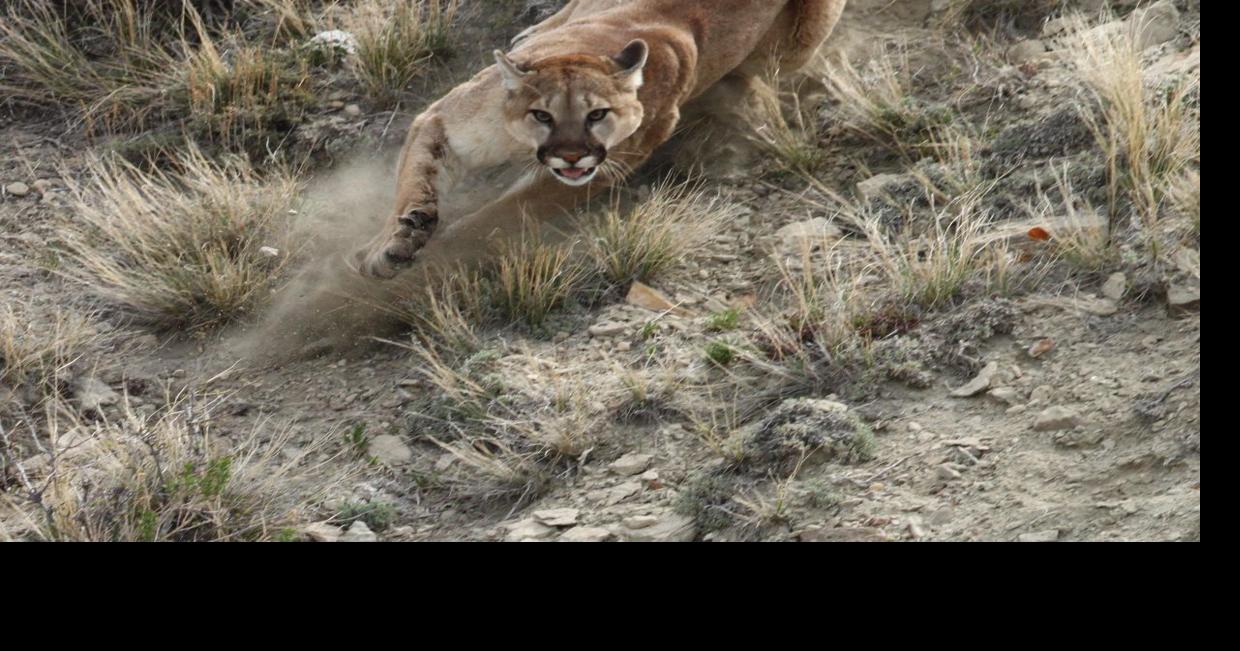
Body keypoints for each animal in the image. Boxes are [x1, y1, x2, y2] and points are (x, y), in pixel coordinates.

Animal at [350, 0, 847, 279]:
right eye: (542, 114)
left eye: (598, 115)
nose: (571, 156)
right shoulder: (445, 122)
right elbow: (415, 178)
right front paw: (391, 243)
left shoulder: (600, 170)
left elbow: (503, 214)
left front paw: (443, 247)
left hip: (803, 36)